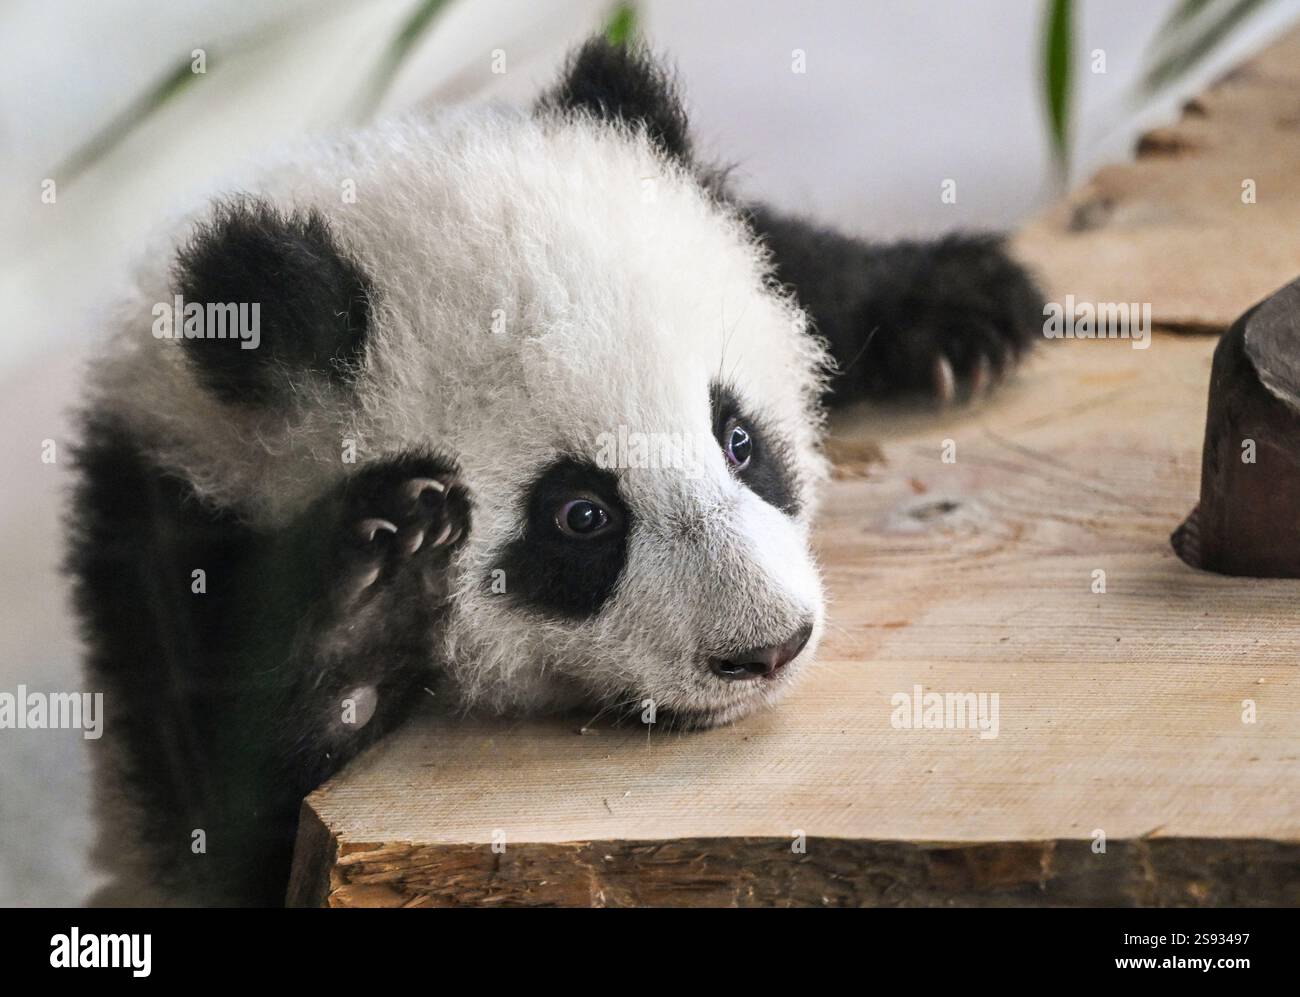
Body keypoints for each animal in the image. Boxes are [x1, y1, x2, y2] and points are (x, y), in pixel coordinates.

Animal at [68, 38, 1043, 906]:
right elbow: (229, 823)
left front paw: (958, 307)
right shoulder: (170, 566)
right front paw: (365, 608)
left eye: (739, 440)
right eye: (580, 515)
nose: (769, 648)